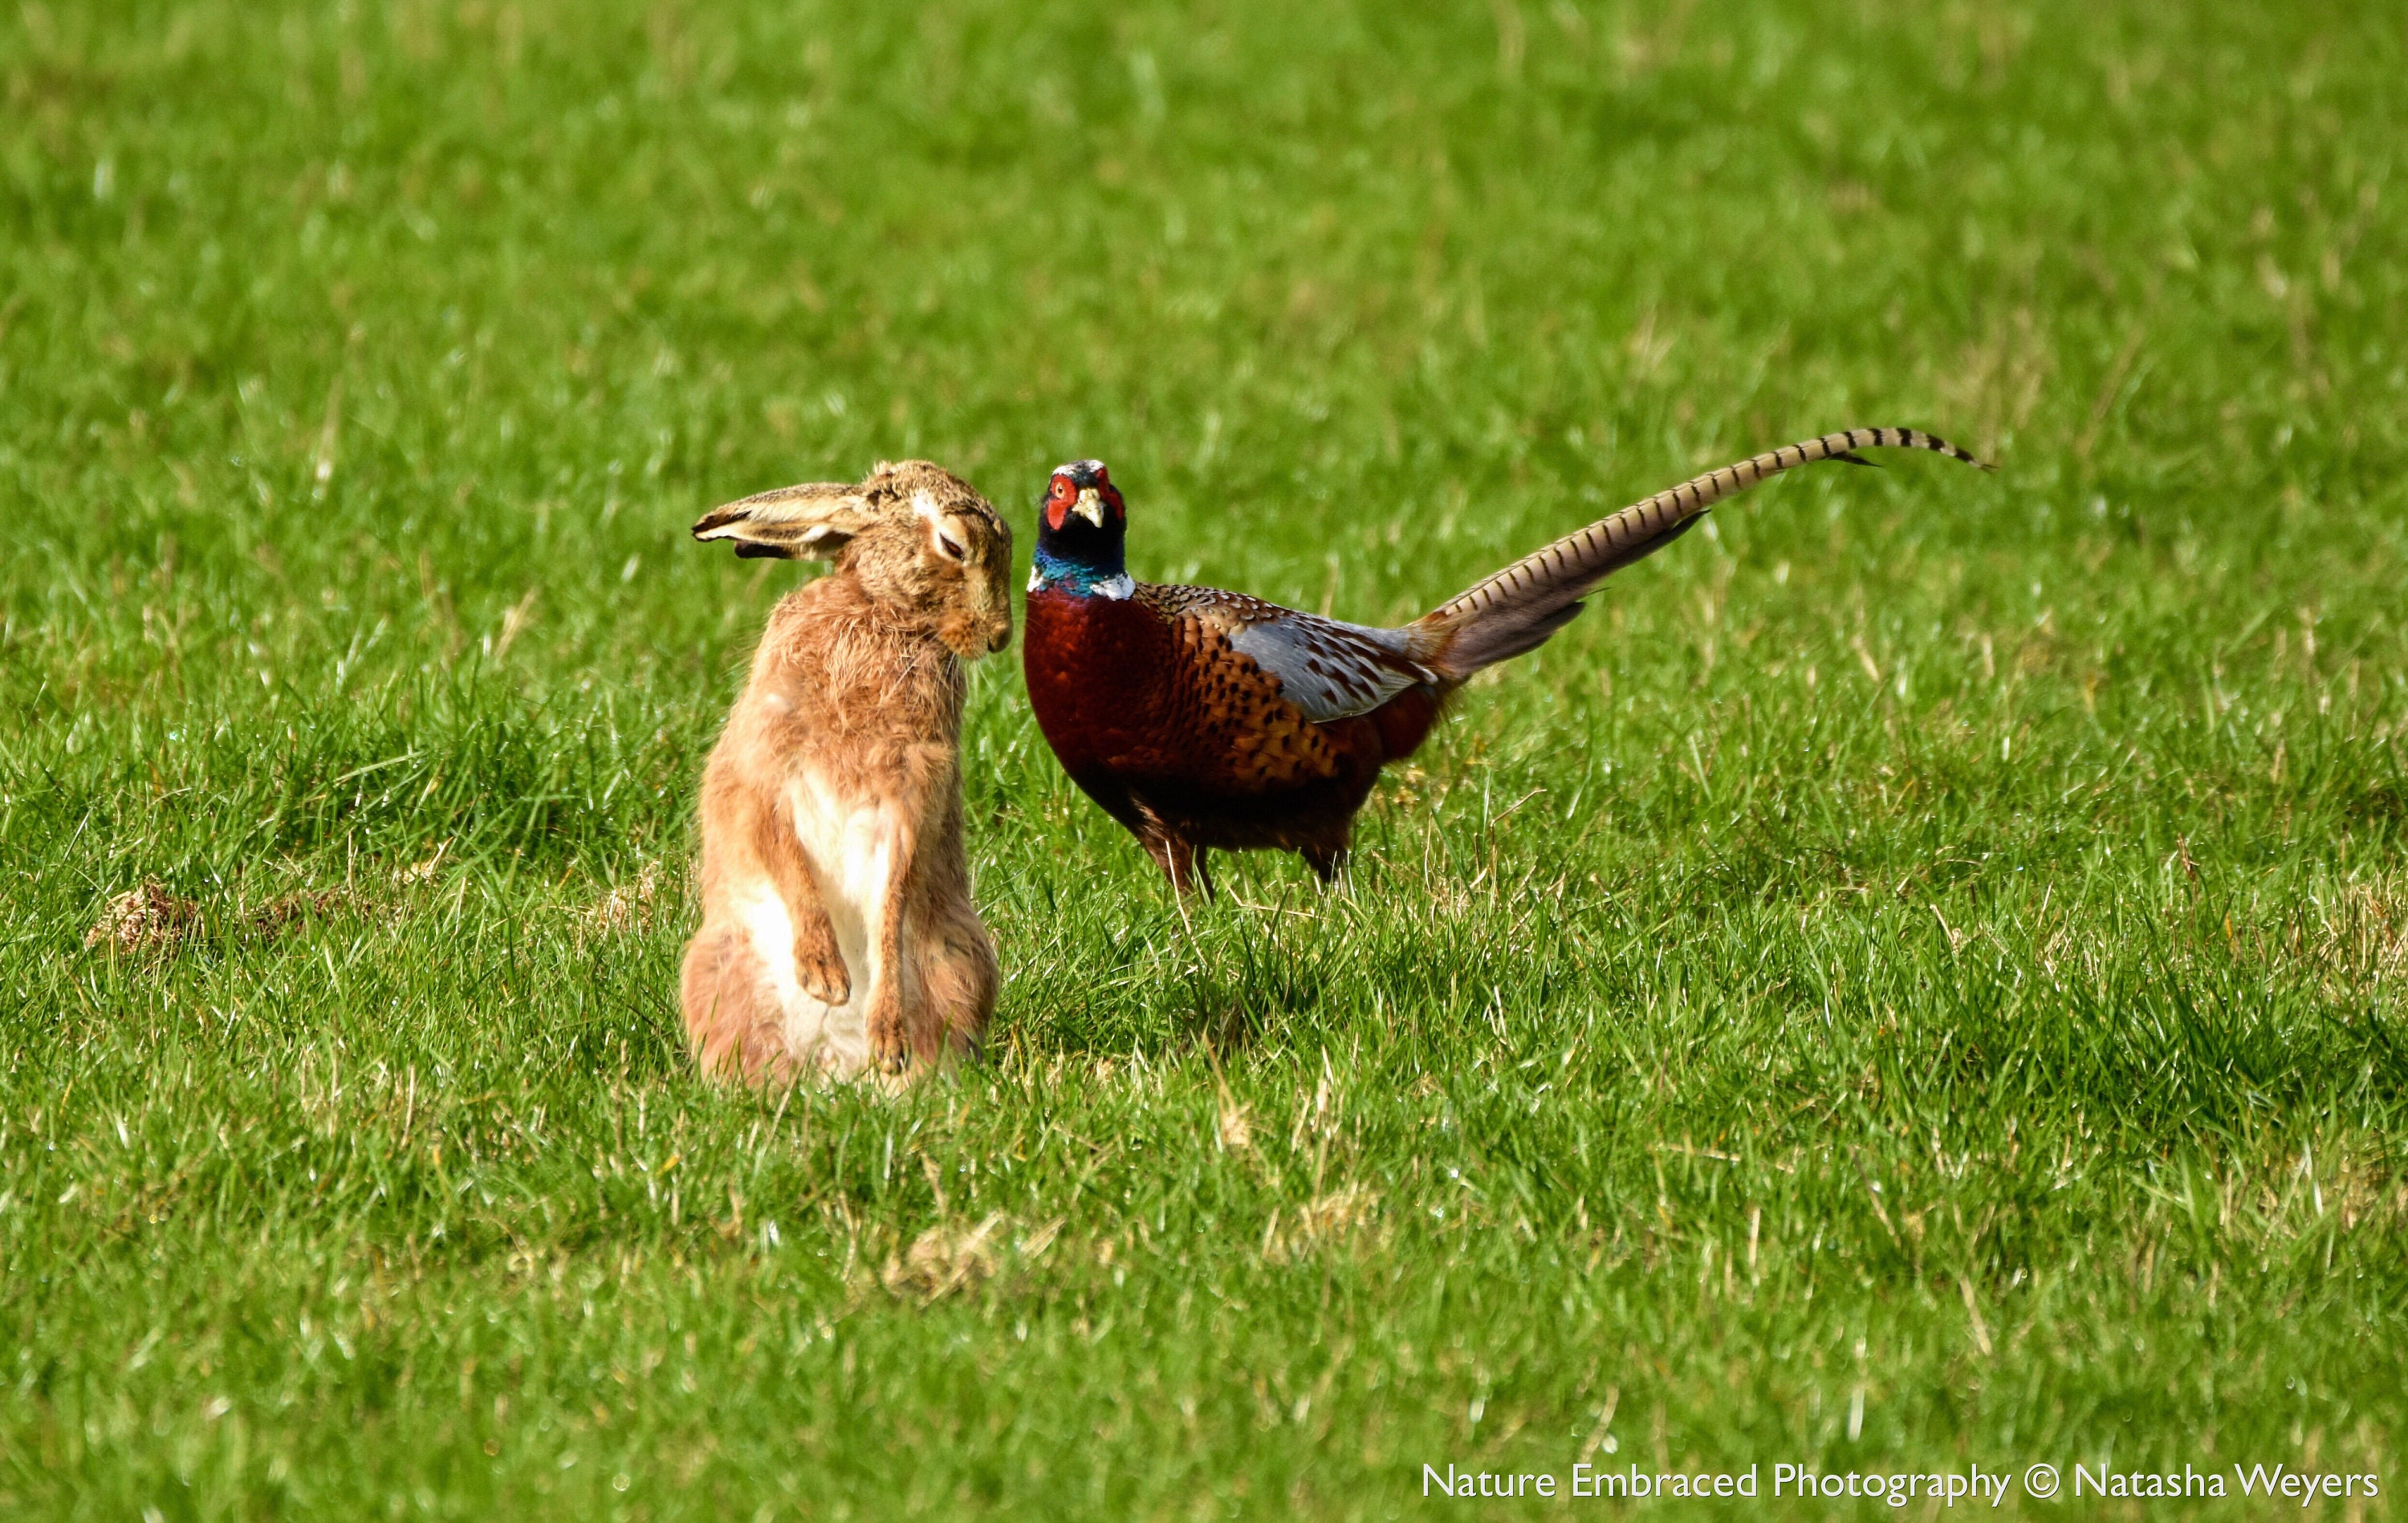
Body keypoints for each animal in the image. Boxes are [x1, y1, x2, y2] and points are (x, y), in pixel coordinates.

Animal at [679, 459, 1013, 1084]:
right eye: (954, 545)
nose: (1000, 638)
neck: (883, 614)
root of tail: (835, 1068)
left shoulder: (911, 794)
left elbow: (892, 902)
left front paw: (884, 1028)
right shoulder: (768, 767)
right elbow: (782, 853)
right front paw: (825, 976)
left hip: (961, 965)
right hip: (716, 970)